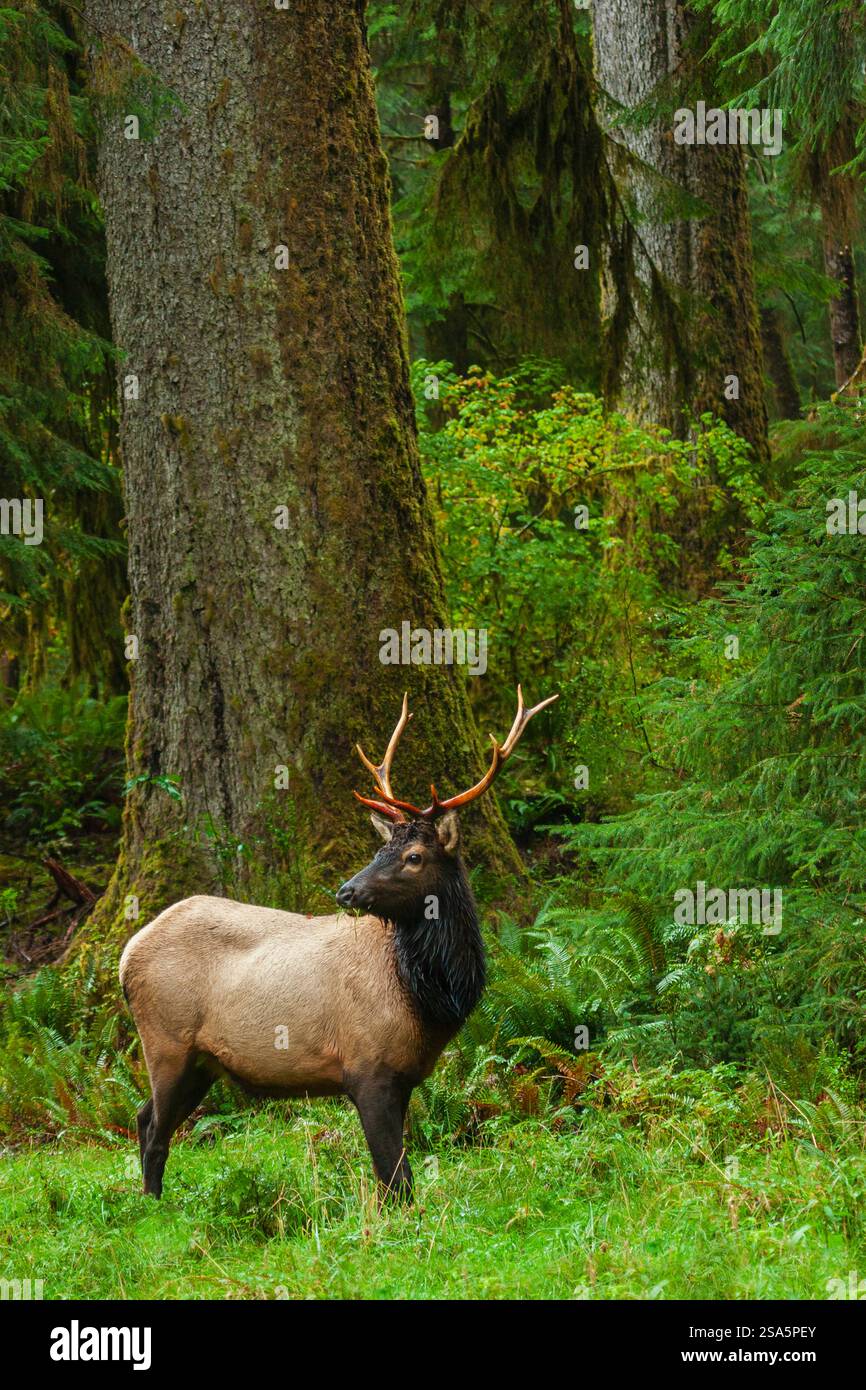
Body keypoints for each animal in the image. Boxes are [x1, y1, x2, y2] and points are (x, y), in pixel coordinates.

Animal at [120, 686, 557, 1201]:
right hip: (166, 1041)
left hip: (201, 1062)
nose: (346, 891)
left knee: (145, 1116)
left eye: (413, 856)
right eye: (380, 849)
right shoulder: (366, 1066)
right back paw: (153, 1205)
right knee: (154, 1127)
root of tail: (126, 955)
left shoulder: (405, 1076)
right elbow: (395, 1175)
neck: (427, 999)